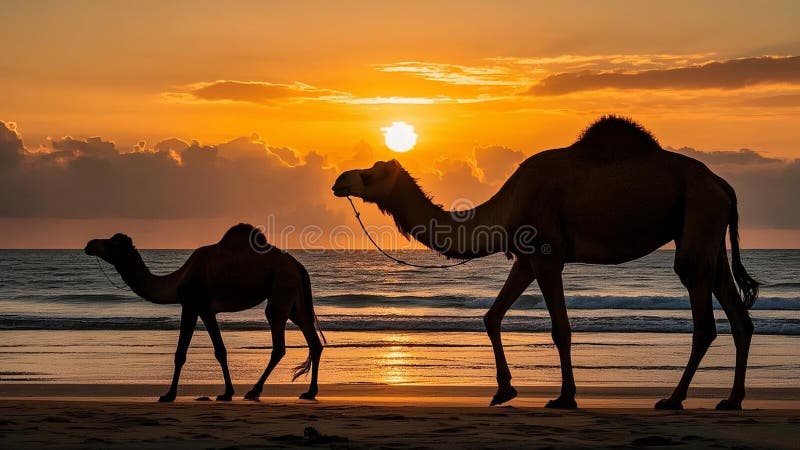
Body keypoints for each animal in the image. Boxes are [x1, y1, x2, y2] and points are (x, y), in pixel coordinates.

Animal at [85, 223, 326, 402]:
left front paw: (169, 394)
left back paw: (254, 391)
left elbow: (186, 353)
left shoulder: (194, 305)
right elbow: (219, 350)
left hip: (281, 287)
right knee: (313, 340)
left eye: (113, 242)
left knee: (278, 343)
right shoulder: (203, 309)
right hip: (295, 299)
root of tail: (297, 265)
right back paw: (309, 392)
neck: (178, 280)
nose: (89, 244)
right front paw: (226, 392)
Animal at [332, 116, 759, 411]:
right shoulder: (526, 258)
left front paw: (565, 397)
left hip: (699, 213)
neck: (509, 205)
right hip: (708, 230)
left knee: (703, 315)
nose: (339, 181)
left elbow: (561, 329)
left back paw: (673, 399)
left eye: (369, 174)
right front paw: (504, 390)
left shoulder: (548, 253)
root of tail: (723, 184)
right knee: (737, 311)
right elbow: (492, 316)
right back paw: (732, 400)